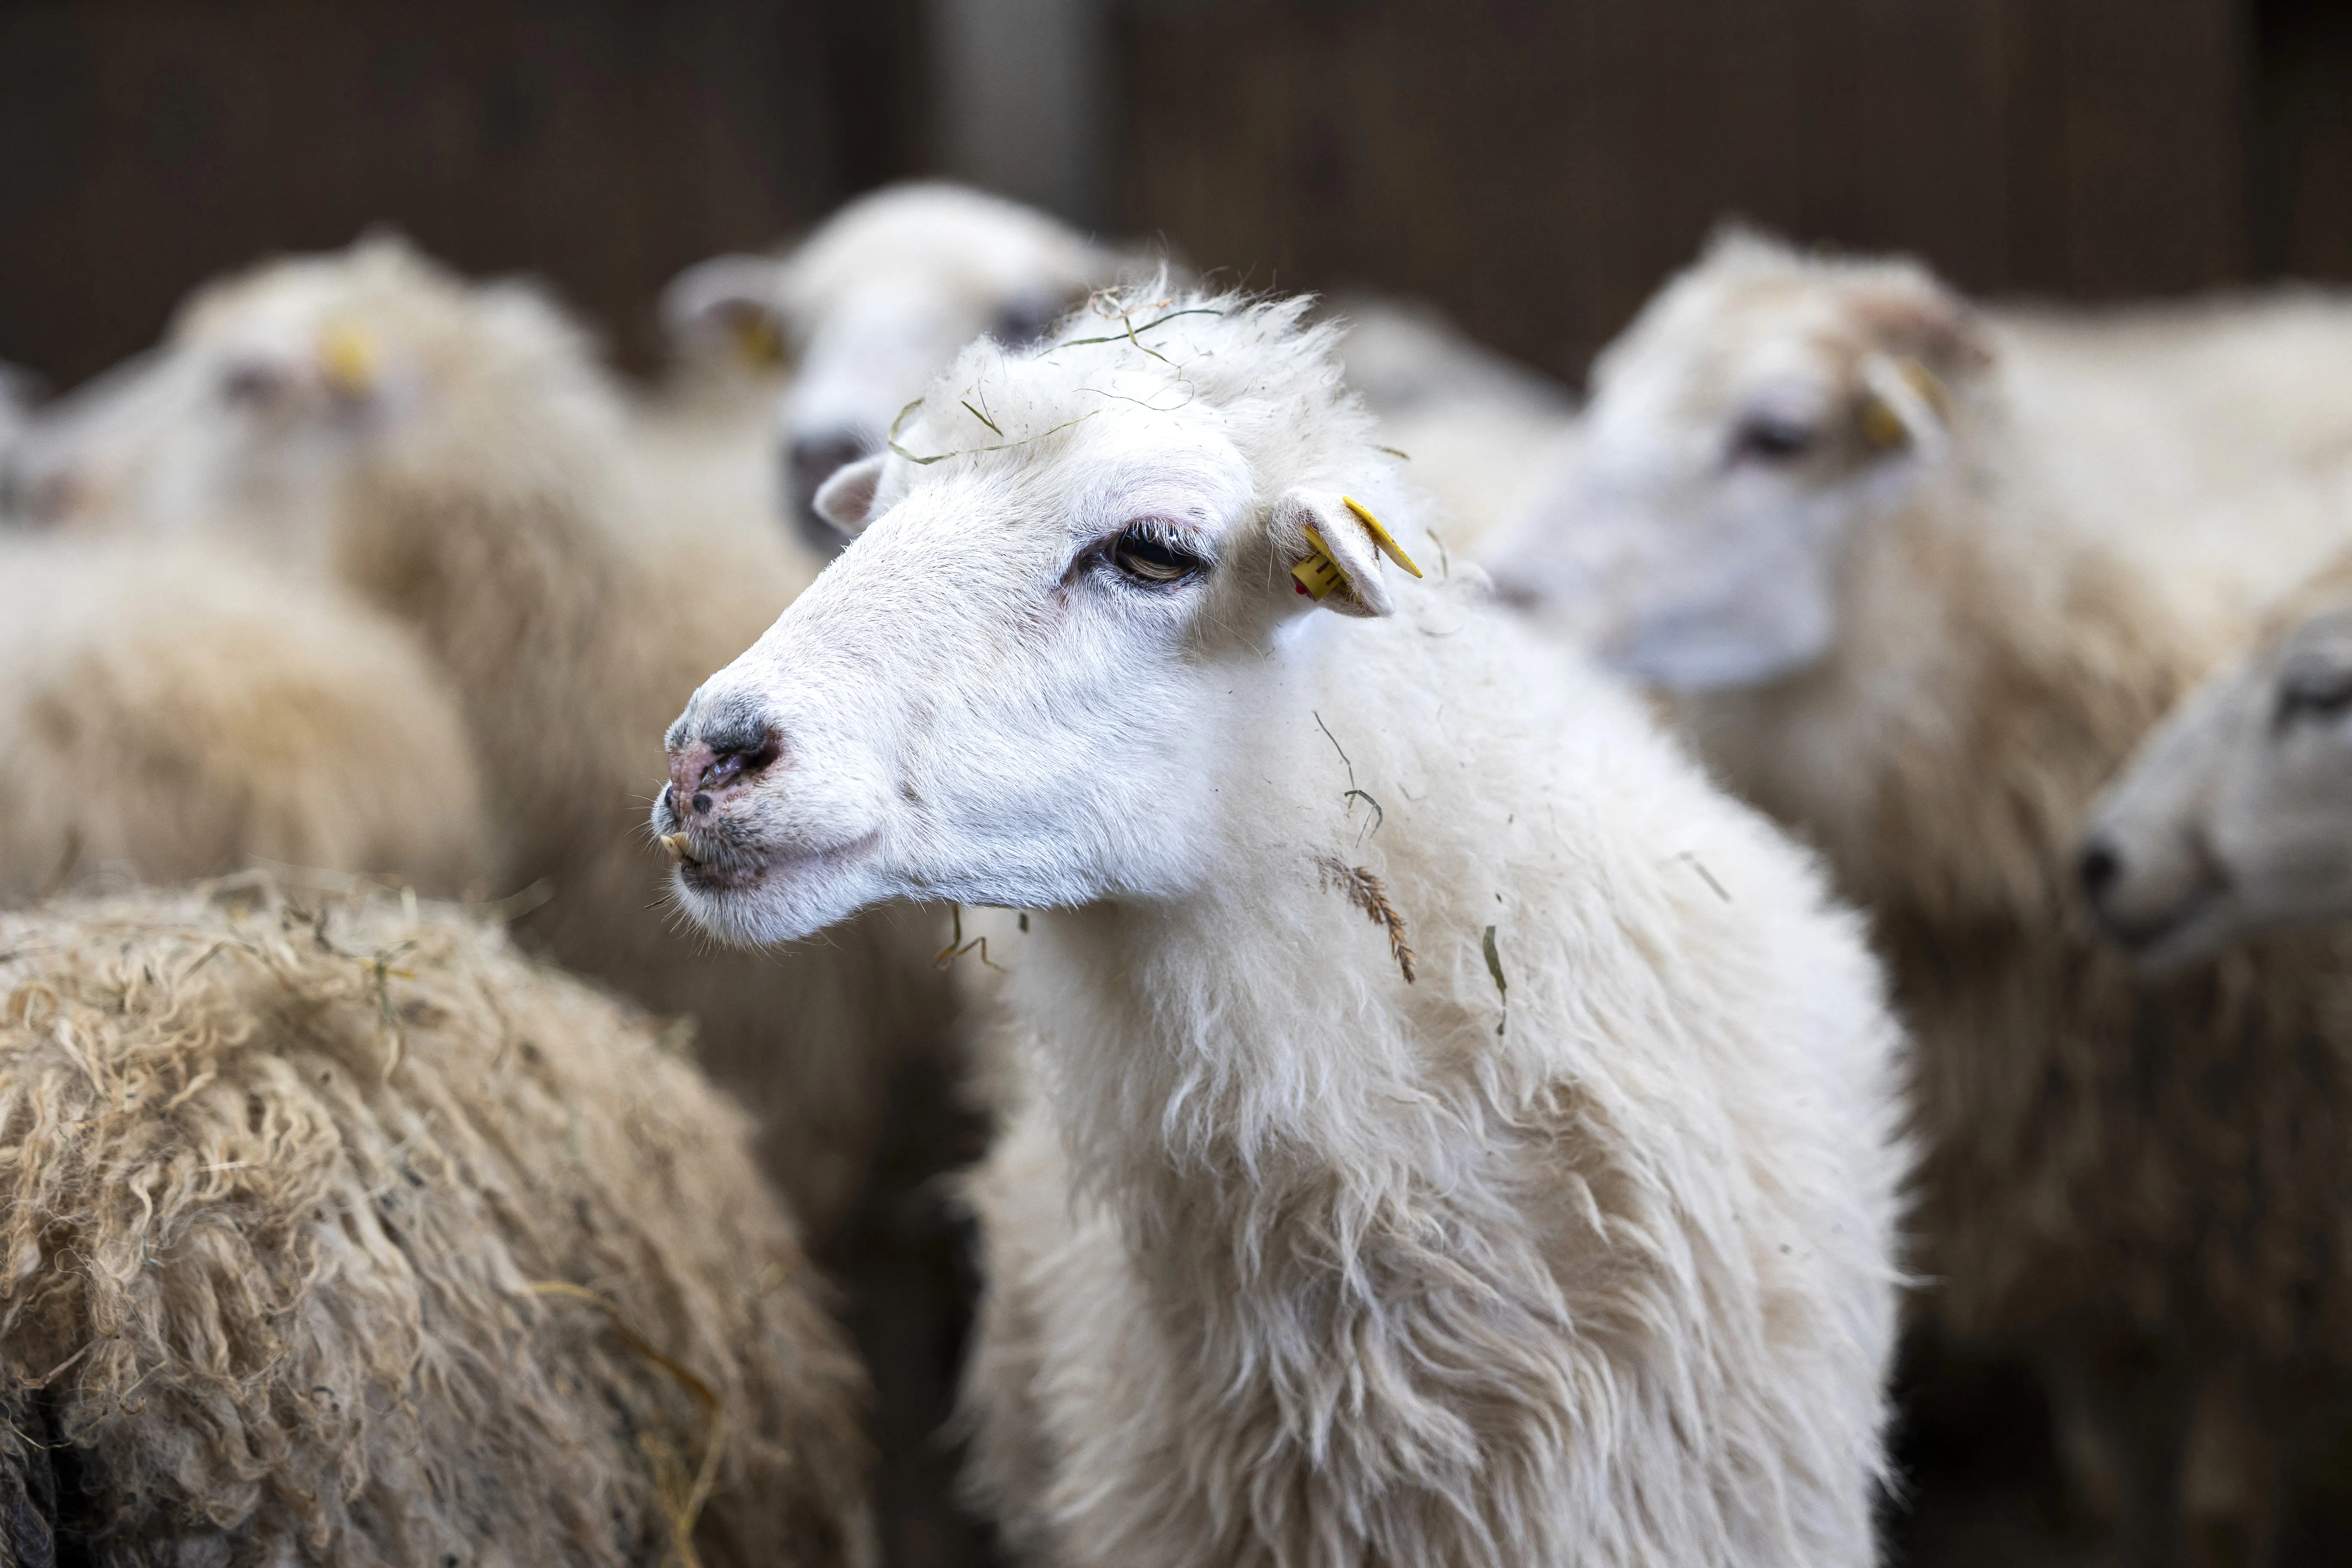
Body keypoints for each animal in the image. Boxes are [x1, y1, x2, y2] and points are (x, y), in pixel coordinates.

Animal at [1486, 228, 2352, 1564]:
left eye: (1778, 434)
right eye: (1608, 391)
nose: (1505, 591)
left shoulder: (2265, 1251)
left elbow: (2217, 1514)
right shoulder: (2059, 1229)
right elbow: (2108, 1491)